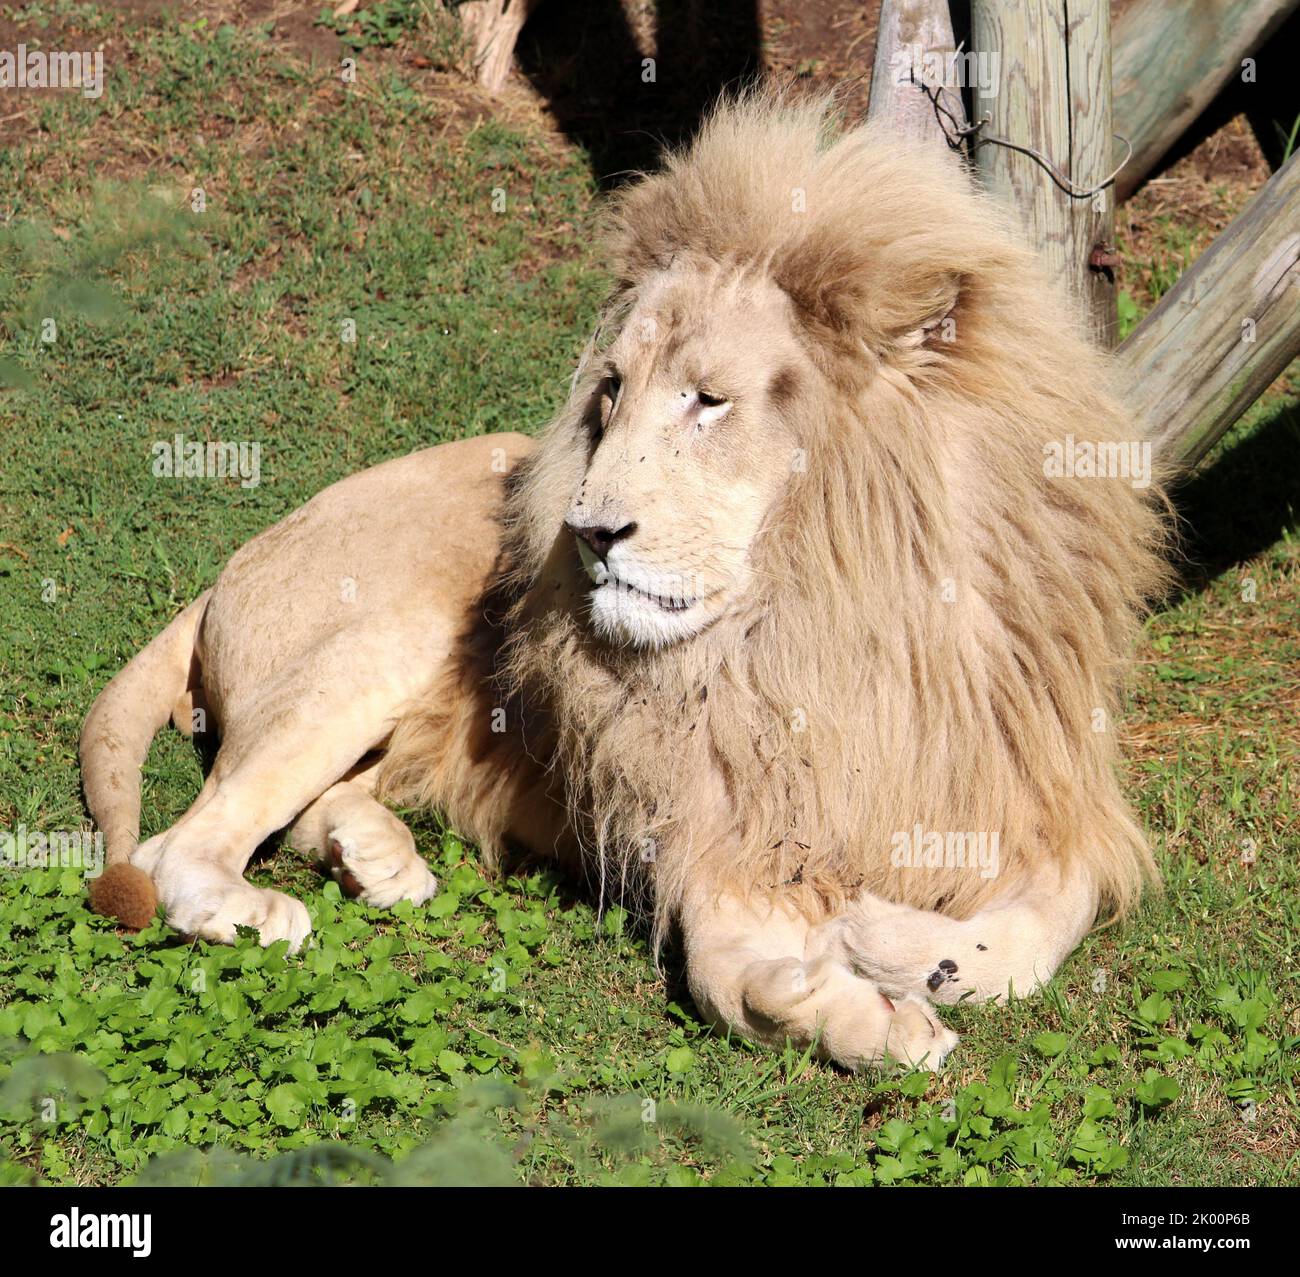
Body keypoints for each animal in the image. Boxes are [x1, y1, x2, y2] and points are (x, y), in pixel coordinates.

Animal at [81, 93, 1168, 1070]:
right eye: (613, 390)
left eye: (708, 400)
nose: (589, 531)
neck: (833, 619)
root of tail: (234, 563)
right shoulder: (712, 830)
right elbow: (734, 981)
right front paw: (861, 999)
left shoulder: (1039, 789)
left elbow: (1048, 917)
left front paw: (906, 947)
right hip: (376, 642)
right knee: (181, 844)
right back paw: (257, 906)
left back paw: (378, 860)